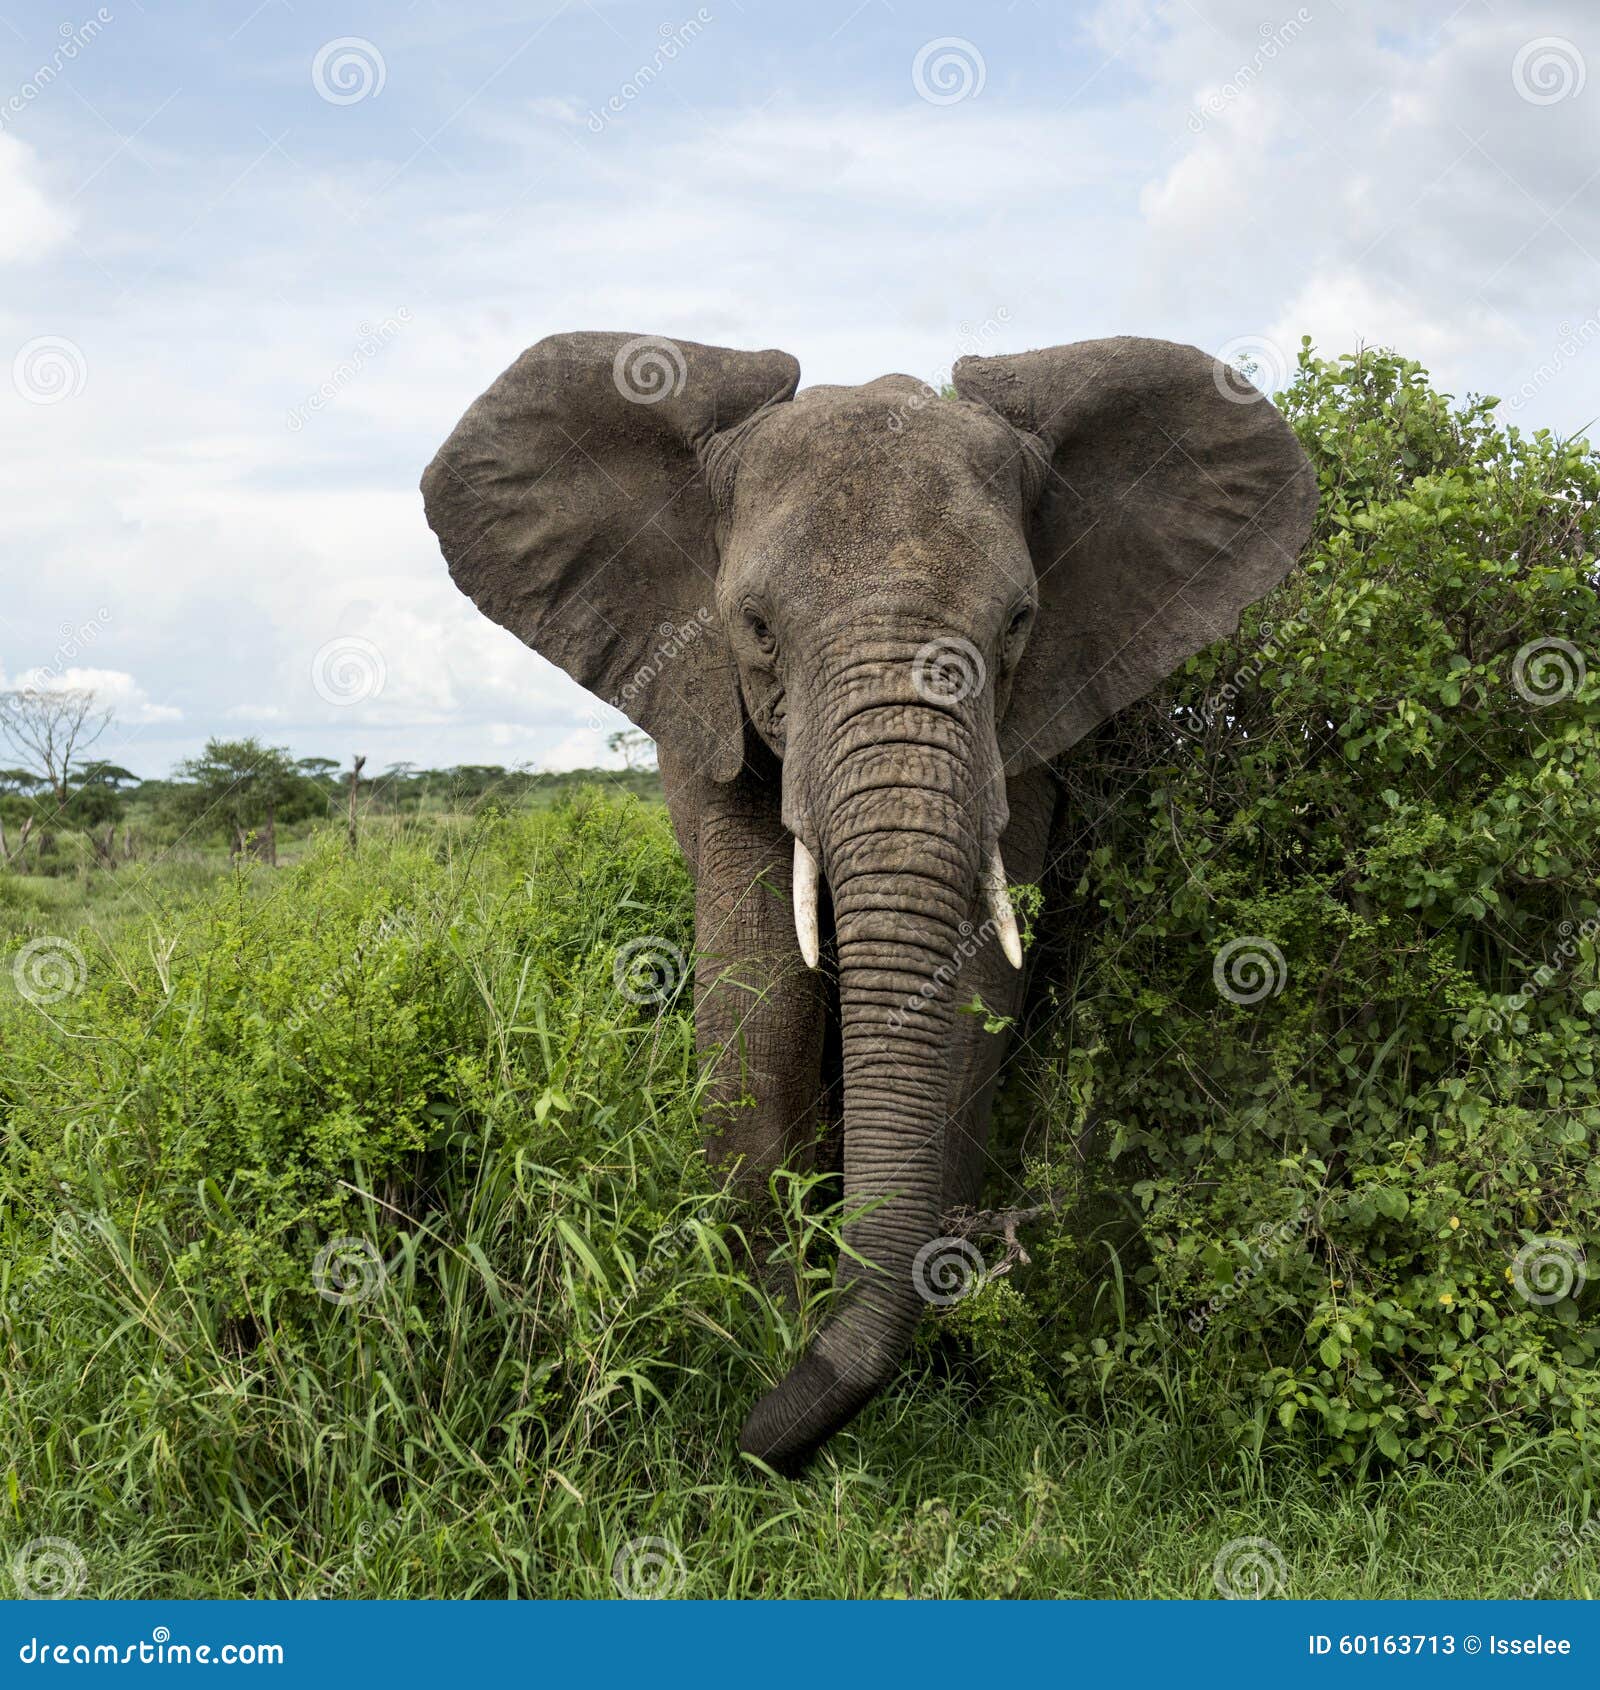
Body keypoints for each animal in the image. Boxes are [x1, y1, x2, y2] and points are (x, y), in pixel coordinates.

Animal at [420, 330, 1318, 1475]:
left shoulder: (1023, 741)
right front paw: (758, 1321)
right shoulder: (714, 716)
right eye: (755, 627)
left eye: (1019, 622)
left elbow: (972, 994)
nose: (749, 1442)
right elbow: (757, 993)